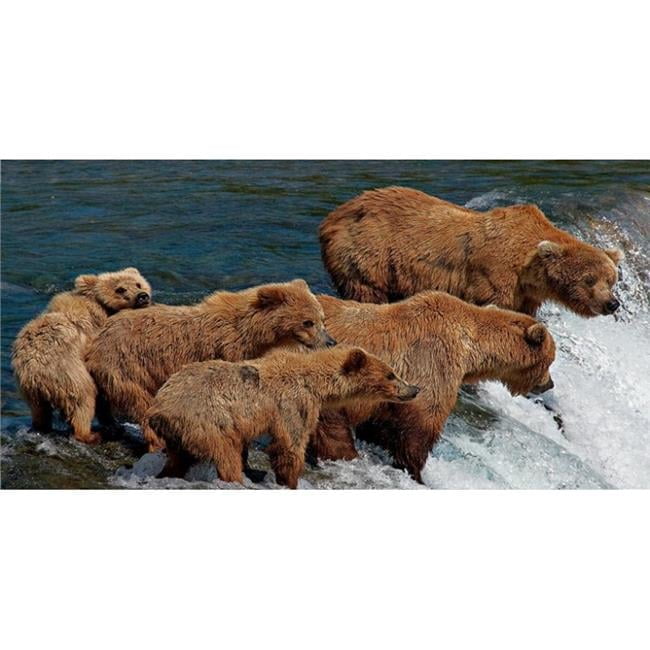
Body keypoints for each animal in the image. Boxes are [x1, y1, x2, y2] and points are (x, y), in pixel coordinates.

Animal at [11, 267, 152, 444]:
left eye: (138, 283)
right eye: (120, 289)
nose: (142, 296)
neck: (104, 310)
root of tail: (33, 366)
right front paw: (114, 424)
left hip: (29, 388)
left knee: (39, 411)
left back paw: (40, 427)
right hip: (68, 373)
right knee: (83, 398)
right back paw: (90, 434)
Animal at [85, 279, 336, 452]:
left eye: (322, 318)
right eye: (308, 322)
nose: (330, 341)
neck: (253, 332)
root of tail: (95, 340)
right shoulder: (228, 350)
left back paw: (112, 425)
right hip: (127, 364)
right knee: (140, 401)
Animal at [146, 345, 419, 488]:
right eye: (391, 374)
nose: (414, 388)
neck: (316, 383)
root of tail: (157, 409)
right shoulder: (292, 403)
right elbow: (290, 445)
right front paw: (290, 479)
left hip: (181, 433)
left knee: (178, 459)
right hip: (206, 422)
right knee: (227, 455)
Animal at [309, 291, 556, 483]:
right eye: (550, 360)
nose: (549, 384)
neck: (469, 349)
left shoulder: (386, 399)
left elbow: (380, 427)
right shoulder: (431, 364)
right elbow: (418, 429)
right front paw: (416, 473)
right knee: (332, 433)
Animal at [319, 186, 623, 317]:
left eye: (611, 280)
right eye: (589, 280)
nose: (612, 303)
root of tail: (332, 217)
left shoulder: (525, 294)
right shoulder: (495, 276)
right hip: (370, 252)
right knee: (366, 289)